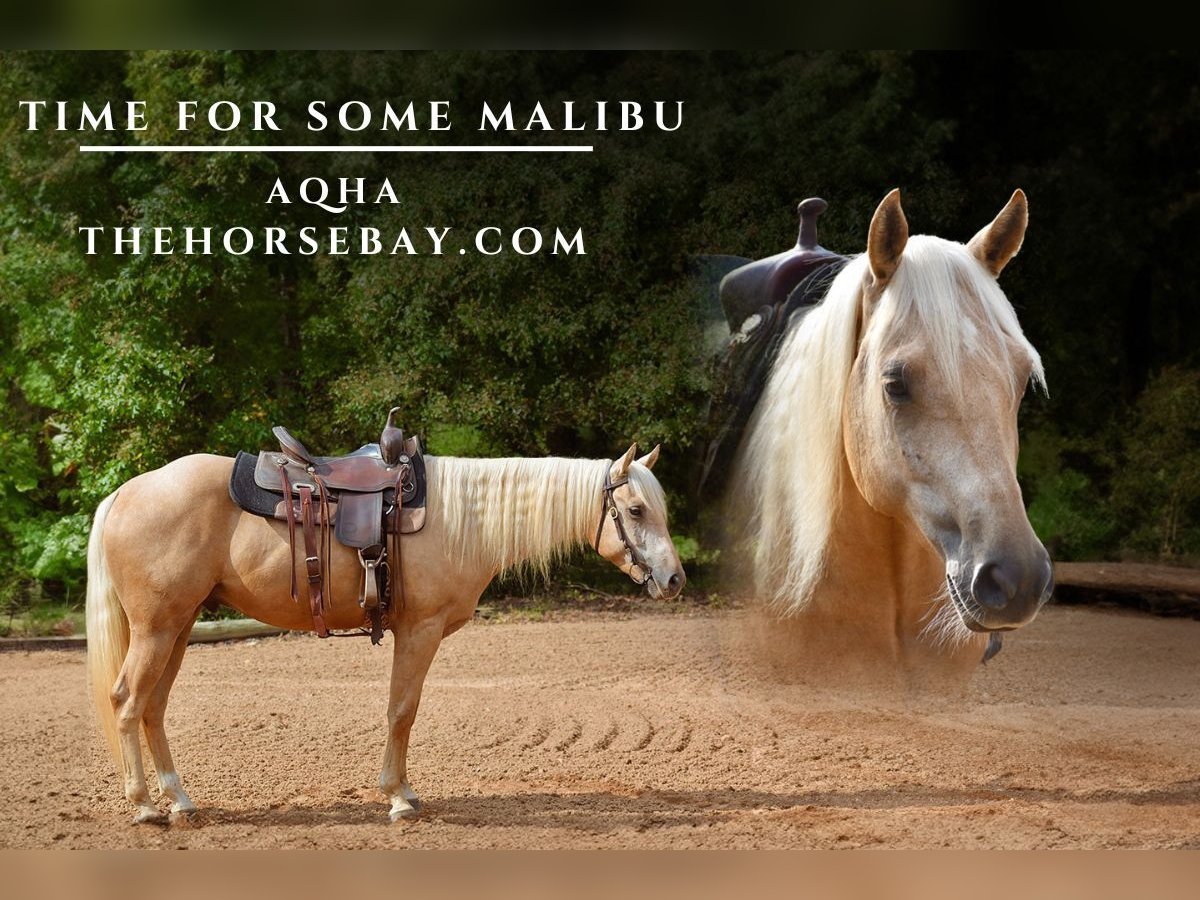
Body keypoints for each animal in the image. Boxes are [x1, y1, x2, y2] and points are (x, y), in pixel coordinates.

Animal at [86, 442, 684, 824]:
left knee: (153, 707)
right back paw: (144, 807)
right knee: (126, 701)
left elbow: (403, 711)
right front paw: (398, 798)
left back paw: (180, 801)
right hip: (157, 629)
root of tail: (123, 493)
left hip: (178, 626)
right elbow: (402, 710)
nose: (675, 579)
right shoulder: (419, 630)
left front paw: (402, 792)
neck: (461, 518)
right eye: (635, 509)